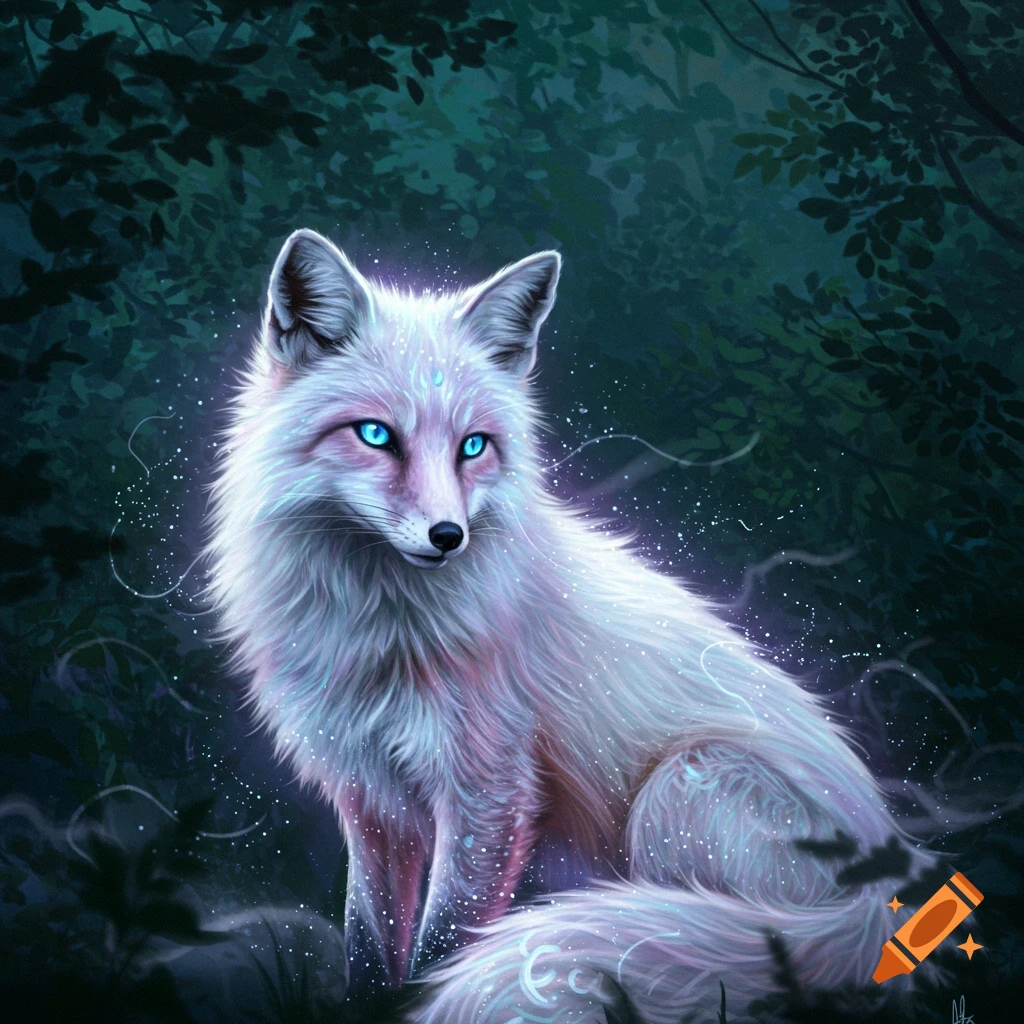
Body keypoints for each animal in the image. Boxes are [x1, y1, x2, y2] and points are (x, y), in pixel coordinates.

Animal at [205, 229, 935, 1022]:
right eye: (375, 435)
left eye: (472, 446)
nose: (448, 536)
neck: (376, 631)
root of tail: (885, 904)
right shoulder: (370, 797)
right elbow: (369, 941)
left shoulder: (490, 793)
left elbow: (443, 947)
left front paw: (427, 1005)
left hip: (677, 790)